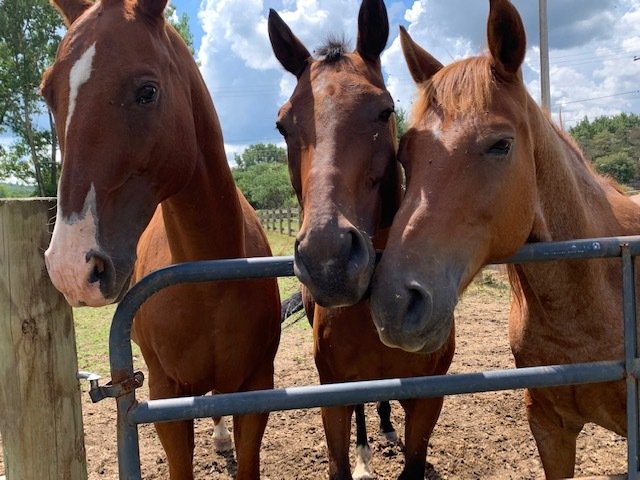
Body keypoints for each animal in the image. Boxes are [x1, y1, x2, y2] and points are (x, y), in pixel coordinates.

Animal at [41, 0, 281, 478]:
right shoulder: (164, 395)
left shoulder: (256, 390)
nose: (71, 267)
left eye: (147, 91)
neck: (209, 283)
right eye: (48, 93)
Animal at [268, 1, 454, 478]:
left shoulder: (429, 399)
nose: (328, 259)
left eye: (385, 110)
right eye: (282, 125)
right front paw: (360, 456)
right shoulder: (332, 392)